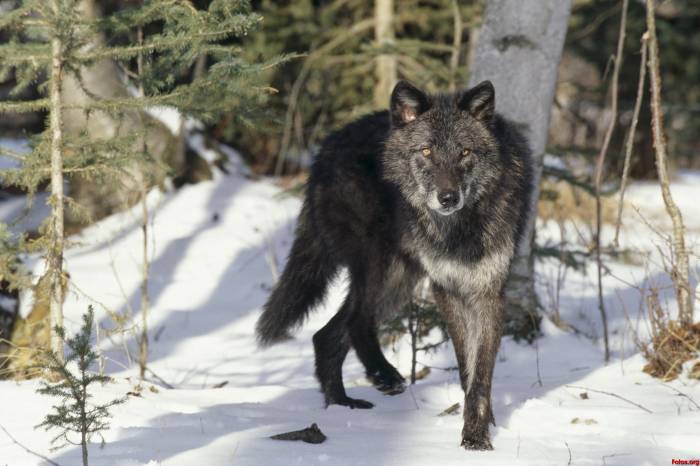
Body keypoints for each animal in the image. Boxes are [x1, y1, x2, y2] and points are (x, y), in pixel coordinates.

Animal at [256, 80, 533, 450]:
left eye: (464, 152)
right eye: (426, 151)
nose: (448, 198)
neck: (458, 229)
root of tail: (325, 149)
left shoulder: (488, 293)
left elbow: (480, 374)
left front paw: (479, 431)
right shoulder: (446, 289)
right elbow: (466, 366)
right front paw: (475, 434)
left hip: (399, 281)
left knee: (326, 334)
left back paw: (341, 405)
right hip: (379, 263)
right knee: (356, 321)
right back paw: (383, 376)